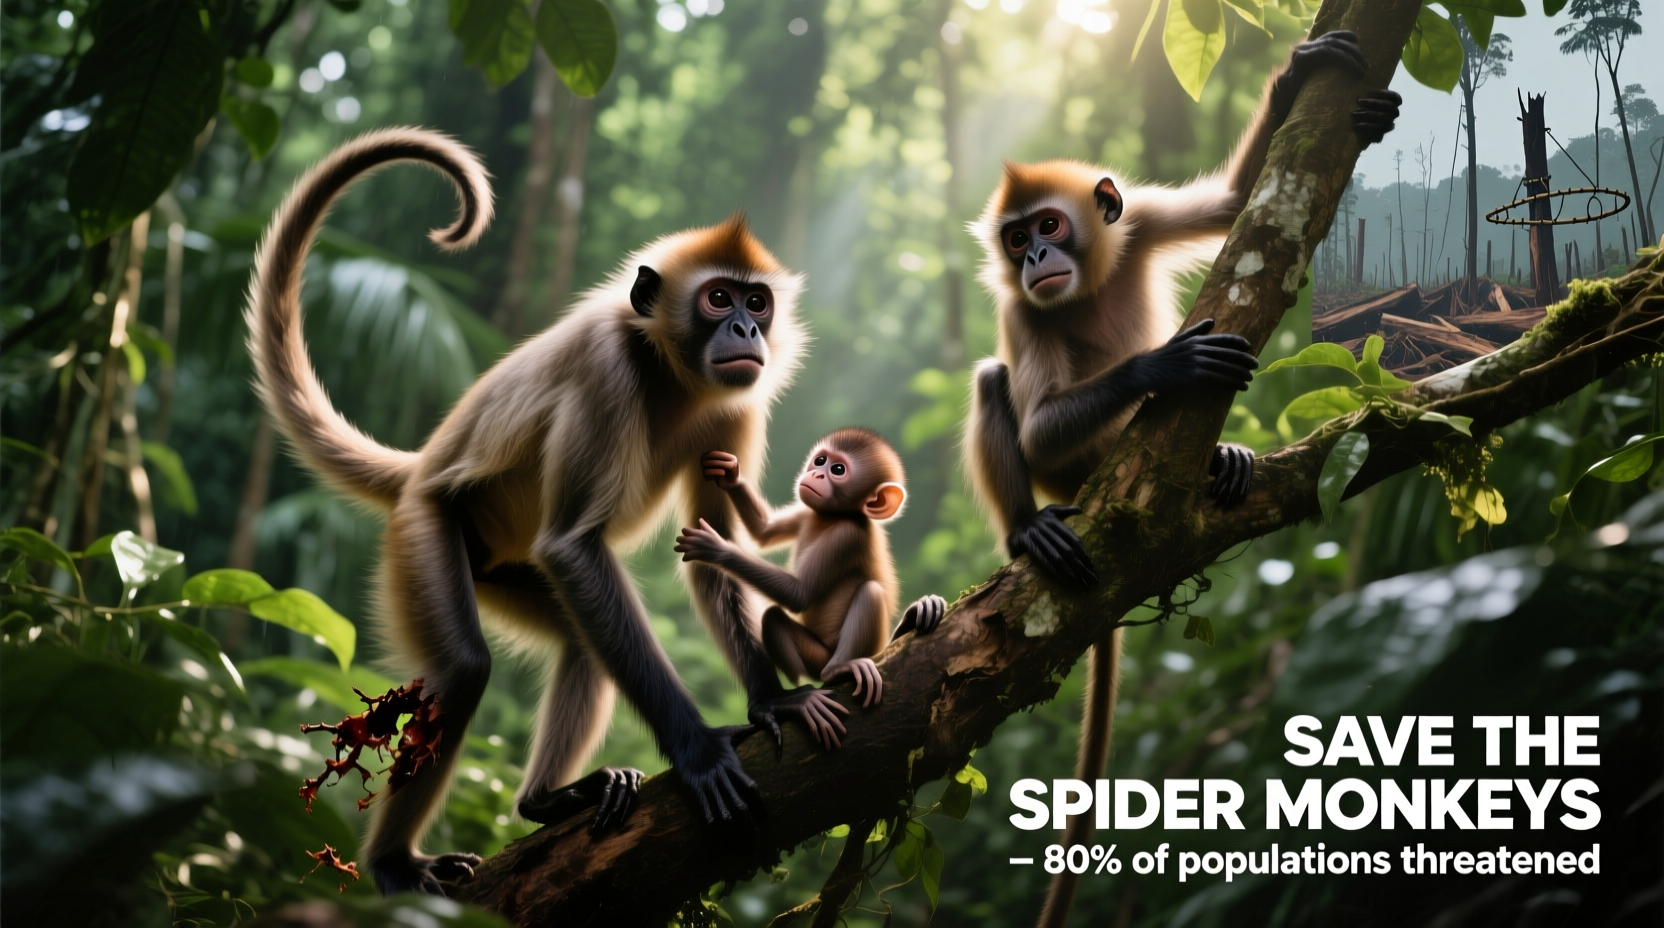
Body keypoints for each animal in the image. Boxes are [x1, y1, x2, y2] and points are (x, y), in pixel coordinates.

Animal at [247, 127, 844, 895]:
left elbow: (706, 550)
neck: (667, 370)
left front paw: (772, 701)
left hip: (496, 569)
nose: (745, 329)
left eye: (758, 302)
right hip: (426, 530)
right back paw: (392, 864)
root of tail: (422, 466)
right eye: (718, 298)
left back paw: (545, 801)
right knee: (466, 667)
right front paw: (698, 753)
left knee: (581, 643)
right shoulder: (607, 366)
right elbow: (570, 547)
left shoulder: (737, 402)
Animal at [673, 429, 947, 748]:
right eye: (820, 460)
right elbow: (764, 530)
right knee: (774, 620)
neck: (829, 517)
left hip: (843, 651)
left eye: (837, 469)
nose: (815, 474)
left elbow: (799, 594)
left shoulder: (846, 536)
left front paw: (714, 548)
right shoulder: (806, 513)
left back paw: (837, 670)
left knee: (869, 593)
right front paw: (730, 473)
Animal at [959, 33, 1400, 927]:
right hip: (1068, 472)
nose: (1040, 258)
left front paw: (1314, 80)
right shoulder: (1024, 310)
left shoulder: (1137, 225)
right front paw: (1168, 363)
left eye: (1049, 226)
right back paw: (1032, 530)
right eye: (1017, 243)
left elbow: (1238, 206)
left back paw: (1219, 462)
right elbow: (1036, 420)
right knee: (996, 383)